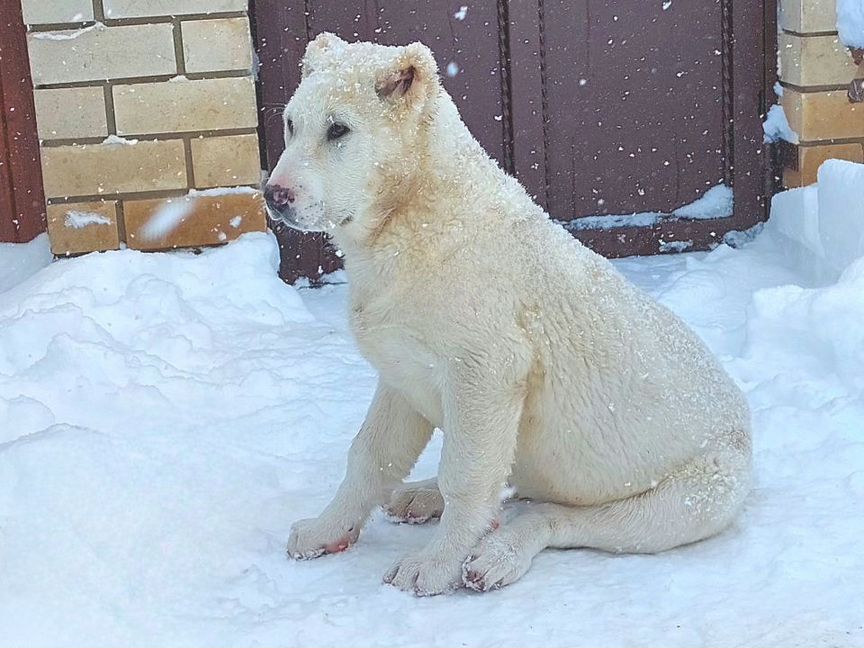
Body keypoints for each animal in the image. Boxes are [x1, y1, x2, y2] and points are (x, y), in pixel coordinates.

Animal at [266, 33, 752, 596]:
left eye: (339, 130)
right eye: (291, 124)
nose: (274, 196)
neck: (414, 219)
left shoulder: (488, 370)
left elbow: (466, 476)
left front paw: (435, 564)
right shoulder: (402, 374)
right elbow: (369, 455)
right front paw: (329, 529)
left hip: (687, 501)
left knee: (555, 517)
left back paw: (498, 553)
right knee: (513, 487)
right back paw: (423, 496)